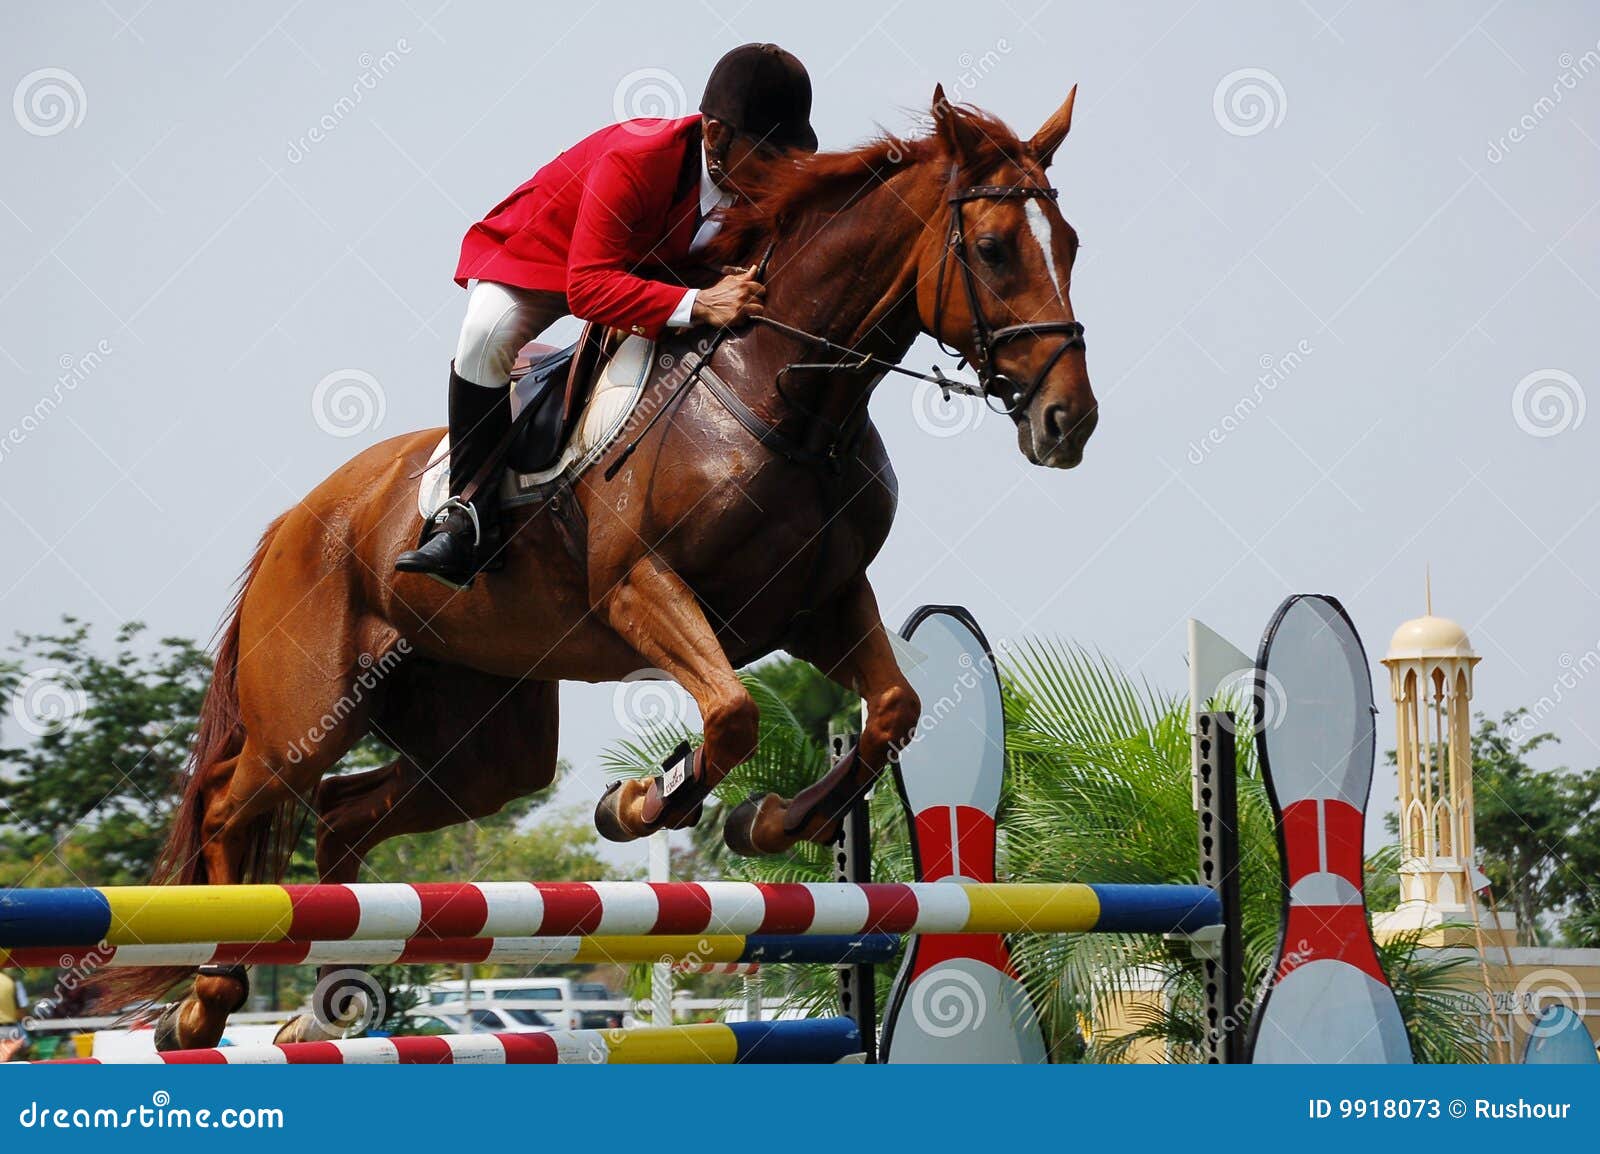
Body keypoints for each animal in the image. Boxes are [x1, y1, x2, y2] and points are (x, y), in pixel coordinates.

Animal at [104, 85, 1098, 1050]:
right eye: (993, 249)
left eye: (1072, 244)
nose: (1069, 421)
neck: (781, 394)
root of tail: (299, 519)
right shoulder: (641, 590)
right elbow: (733, 716)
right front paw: (644, 800)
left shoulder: (820, 602)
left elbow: (892, 709)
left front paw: (767, 820)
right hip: (309, 711)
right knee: (230, 805)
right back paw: (210, 999)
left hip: (480, 742)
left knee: (347, 810)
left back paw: (331, 994)